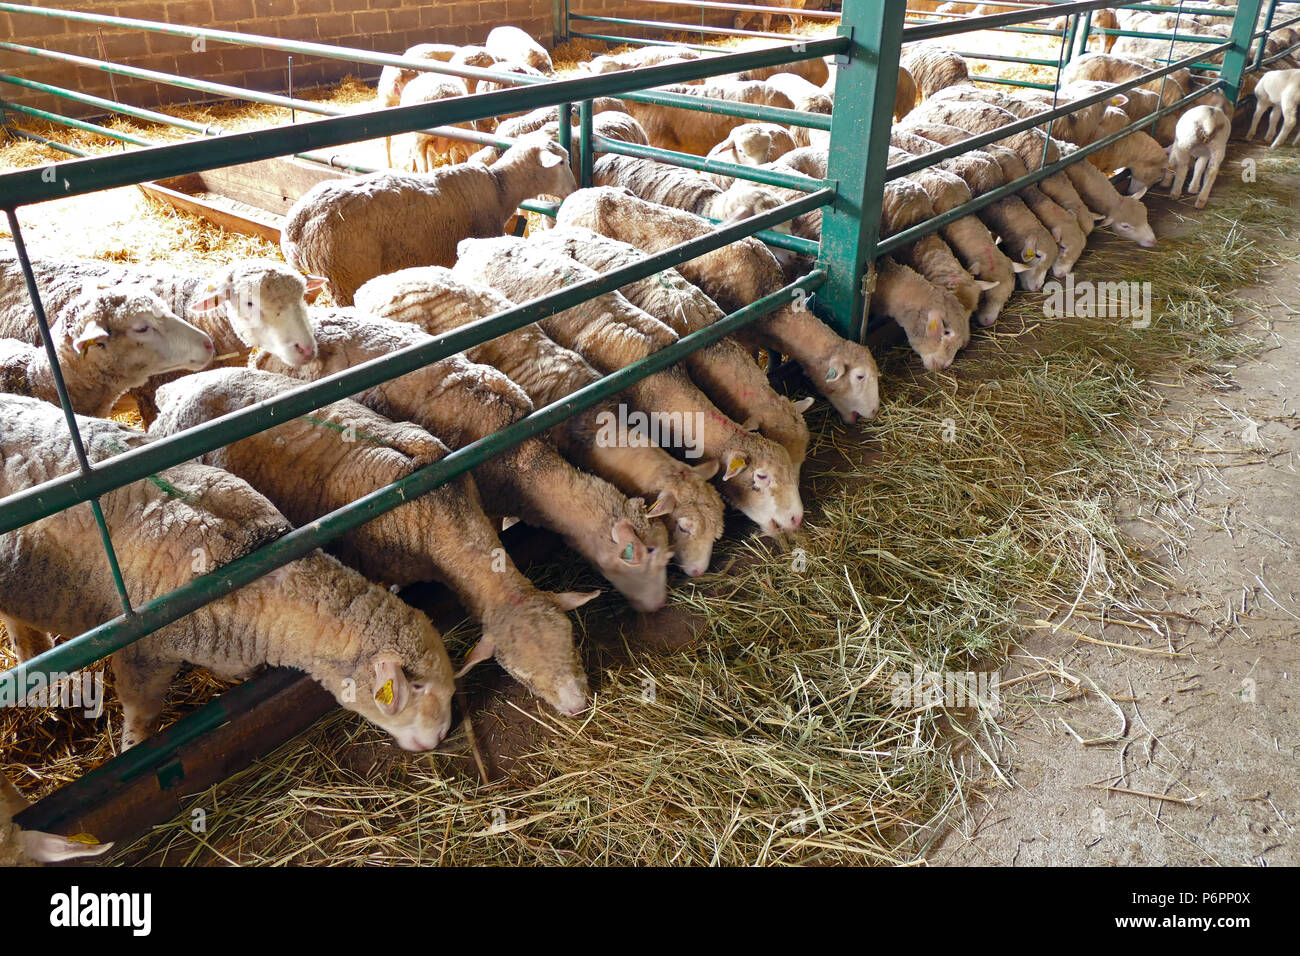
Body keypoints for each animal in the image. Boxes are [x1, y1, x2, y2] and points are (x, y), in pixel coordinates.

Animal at [0, 394, 456, 751]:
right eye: (417, 687)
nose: (441, 736)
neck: (245, 565)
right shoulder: (142, 652)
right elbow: (142, 716)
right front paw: (133, 748)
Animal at [281, 138, 577, 306]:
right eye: (562, 162)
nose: (574, 189)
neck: (500, 188)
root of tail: (297, 227)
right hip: (345, 275)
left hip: (322, 276)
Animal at [557, 187, 881, 424]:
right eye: (860, 376)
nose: (875, 412)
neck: (769, 298)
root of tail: (575, 197)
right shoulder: (743, 334)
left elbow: (775, 355)